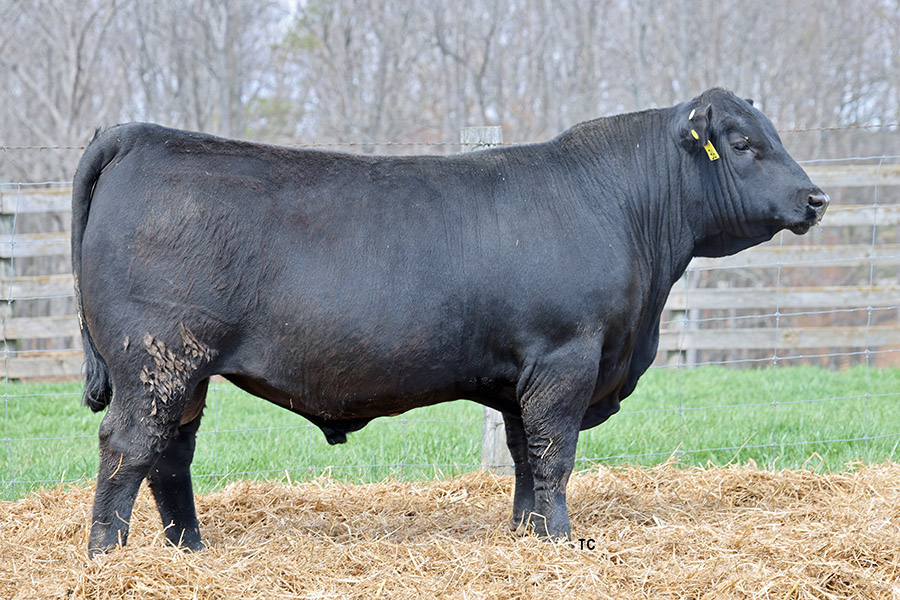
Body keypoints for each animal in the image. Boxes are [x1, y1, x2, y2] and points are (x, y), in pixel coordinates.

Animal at [72, 88, 827, 555]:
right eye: (741, 141)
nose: (816, 197)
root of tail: (139, 136)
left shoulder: (523, 374)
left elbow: (525, 454)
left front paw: (526, 534)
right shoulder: (566, 357)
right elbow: (557, 454)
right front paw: (562, 538)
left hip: (185, 372)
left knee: (170, 455)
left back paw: (188, 551)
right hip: (156, 360)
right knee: (127, 446)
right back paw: (110, 554)